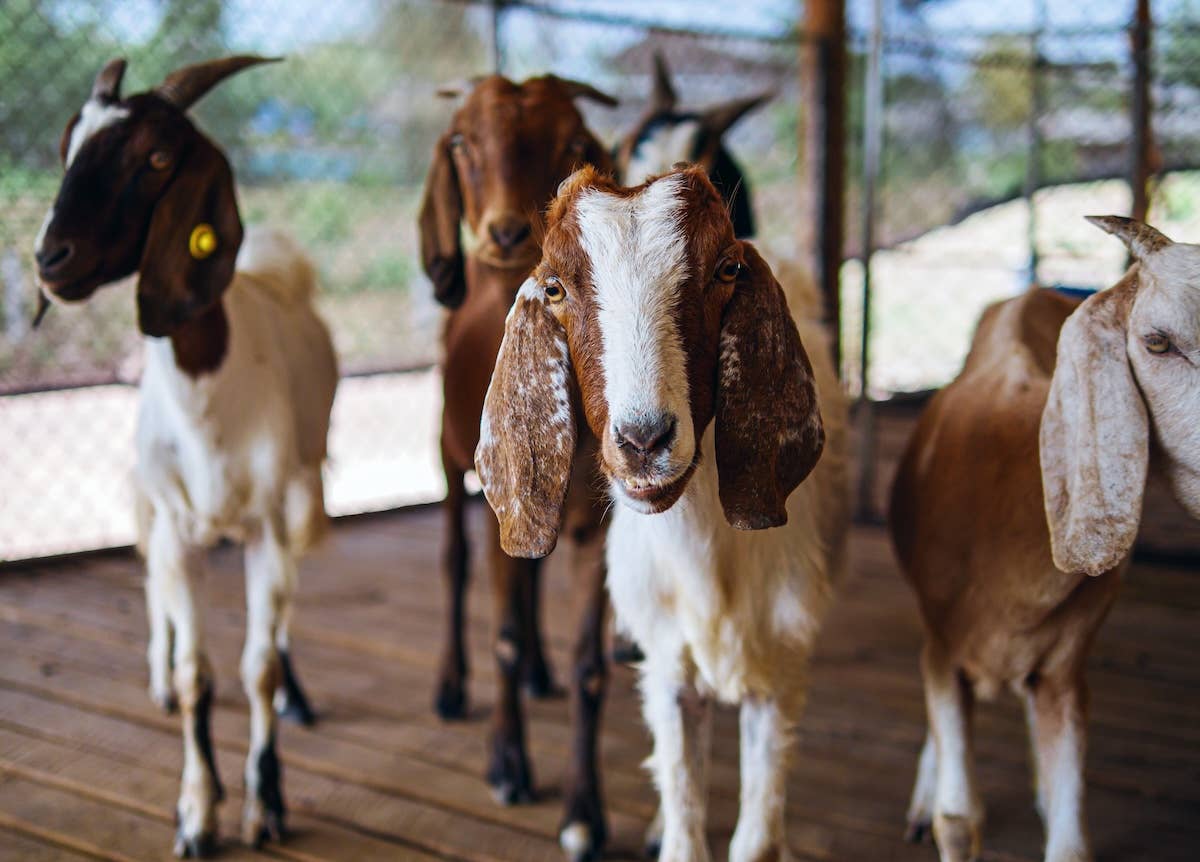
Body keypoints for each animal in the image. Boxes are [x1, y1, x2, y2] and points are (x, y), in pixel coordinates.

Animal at [33, 57, 337, 857]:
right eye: (69, 147)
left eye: (157, 158)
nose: (50, 258)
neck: (209, 405)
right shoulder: (173, 525)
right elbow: (201, 672)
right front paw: (198, 811)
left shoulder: (269, 525)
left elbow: (258, 667)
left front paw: (266, 801)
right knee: (154, 593)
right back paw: (161, 677)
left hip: (303, 485)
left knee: (280, 625)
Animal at [418, 73, 618, 860]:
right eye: (462, 141)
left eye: (571, 143)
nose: (506, 232)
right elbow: (499, 630)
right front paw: (506, 764)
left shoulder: (597, 524)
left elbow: (591, 667)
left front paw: (584, 814)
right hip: (448, 458)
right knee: (453, 560)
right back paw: (452, 686)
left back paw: (539, 671)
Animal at [476, 165, 850, 862]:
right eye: (554, 285)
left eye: (726, 269)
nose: (644, 439)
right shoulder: (669, 670)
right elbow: (683, 820)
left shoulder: (780, 671)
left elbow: (756, 836)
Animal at [889, 217, 1200, 862]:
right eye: (1157, 342)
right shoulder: (943, 650)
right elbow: (957, 818)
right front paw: (938, 807)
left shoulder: (1065, 670)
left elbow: (1071, 841)